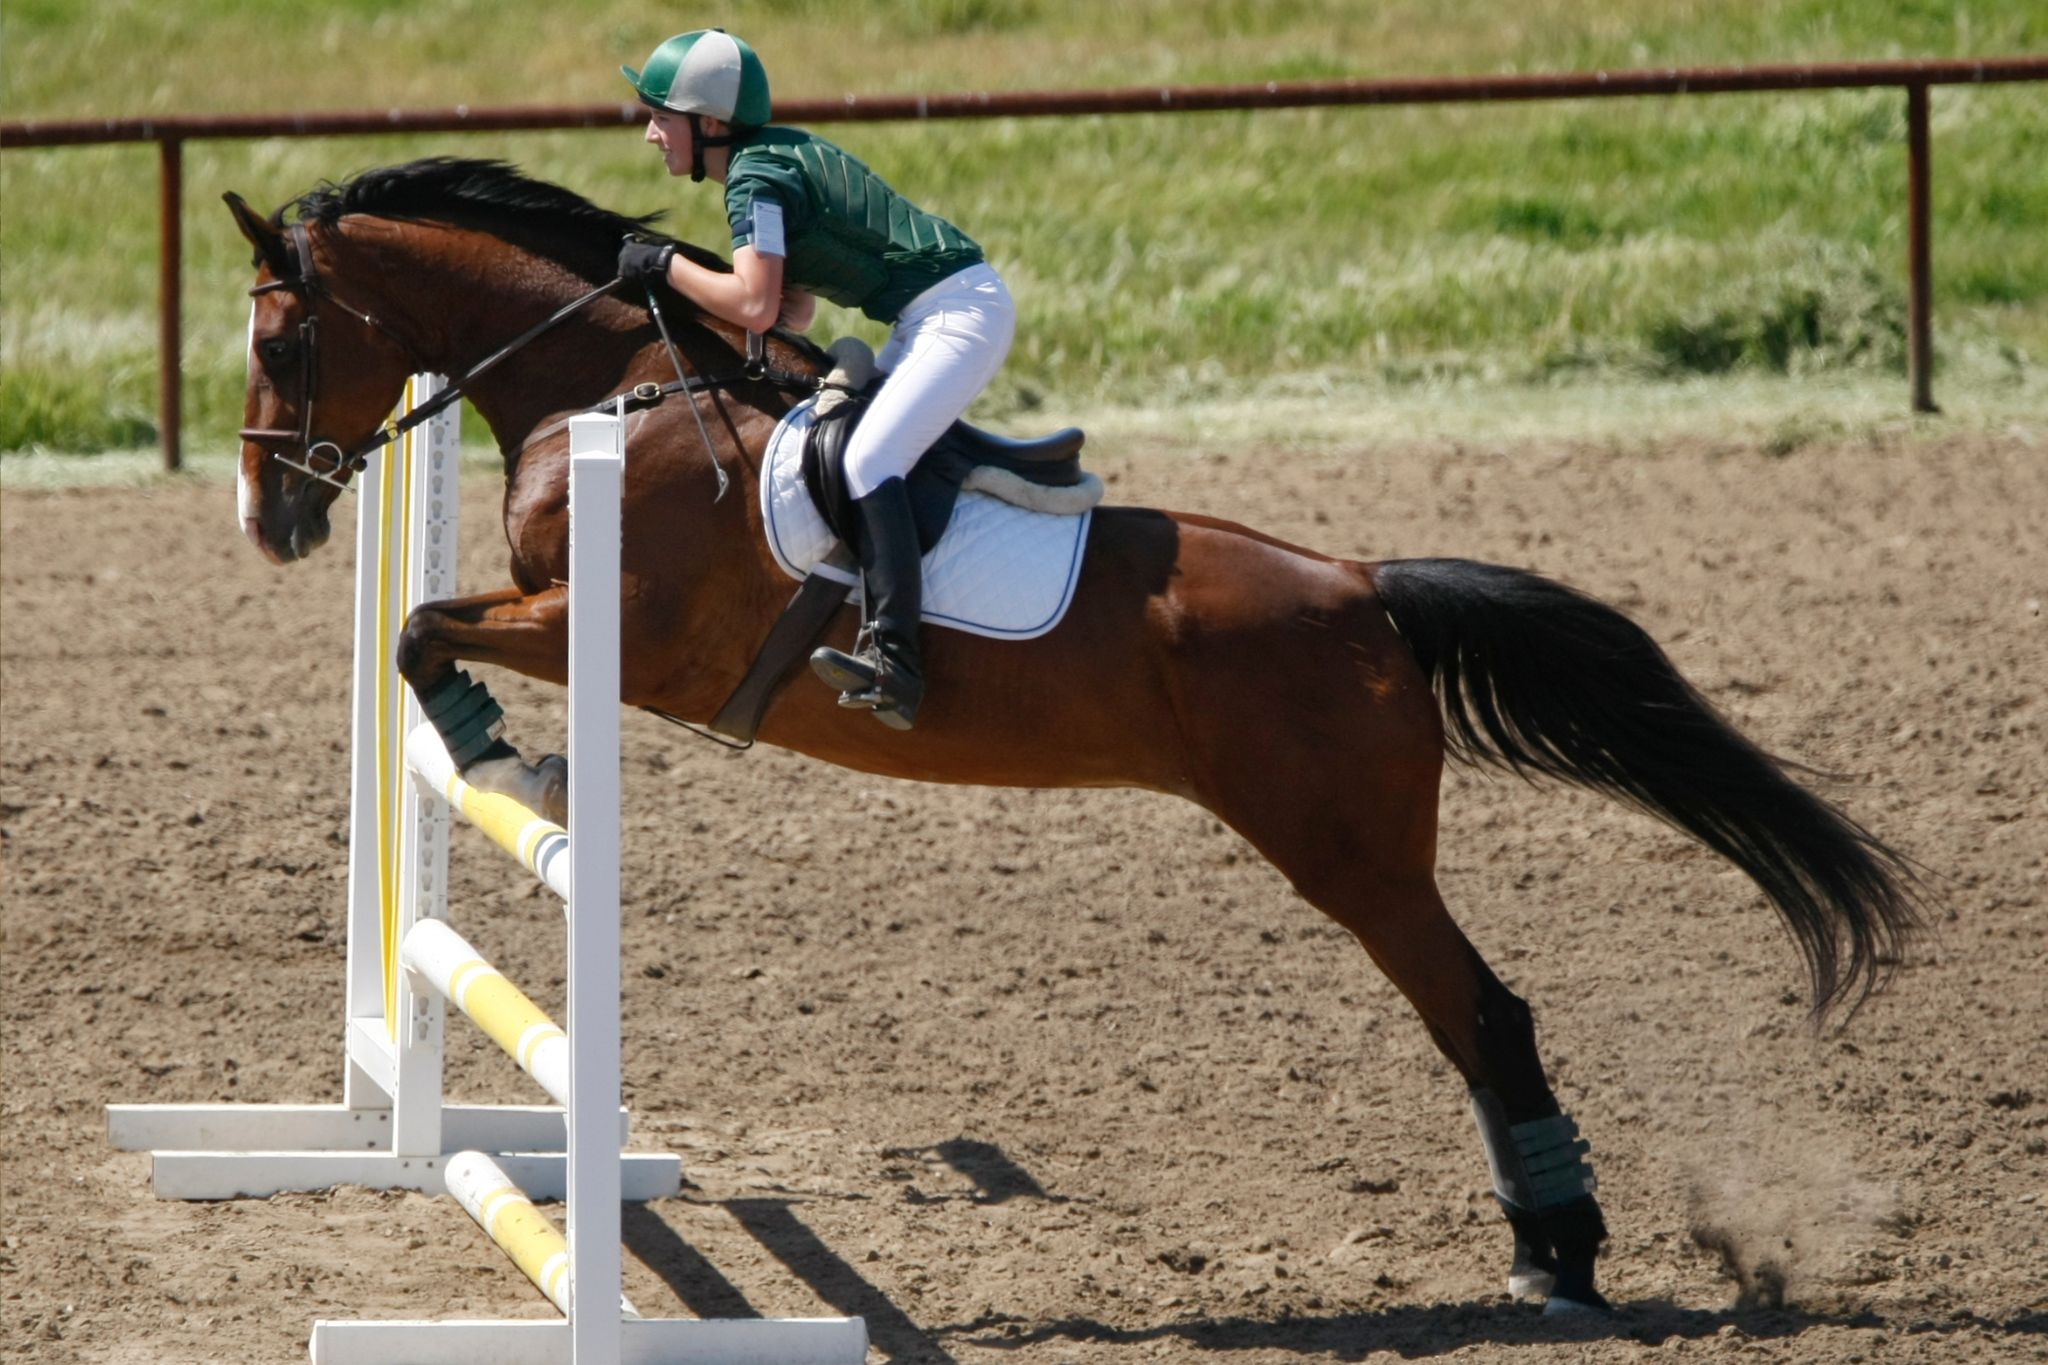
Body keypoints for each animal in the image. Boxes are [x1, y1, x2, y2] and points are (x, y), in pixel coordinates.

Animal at [227, 157, 1921, 1315]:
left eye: (286, 347)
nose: (270, 520)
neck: (621, 389)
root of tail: (1366, 588)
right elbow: (424, 622)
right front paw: (500, 750)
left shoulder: (619, 632)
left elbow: (421, 630)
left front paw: (500, 749)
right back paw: (1550, 1244)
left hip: (1351, 856)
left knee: (1484, 1015)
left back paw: (1557, 1258)